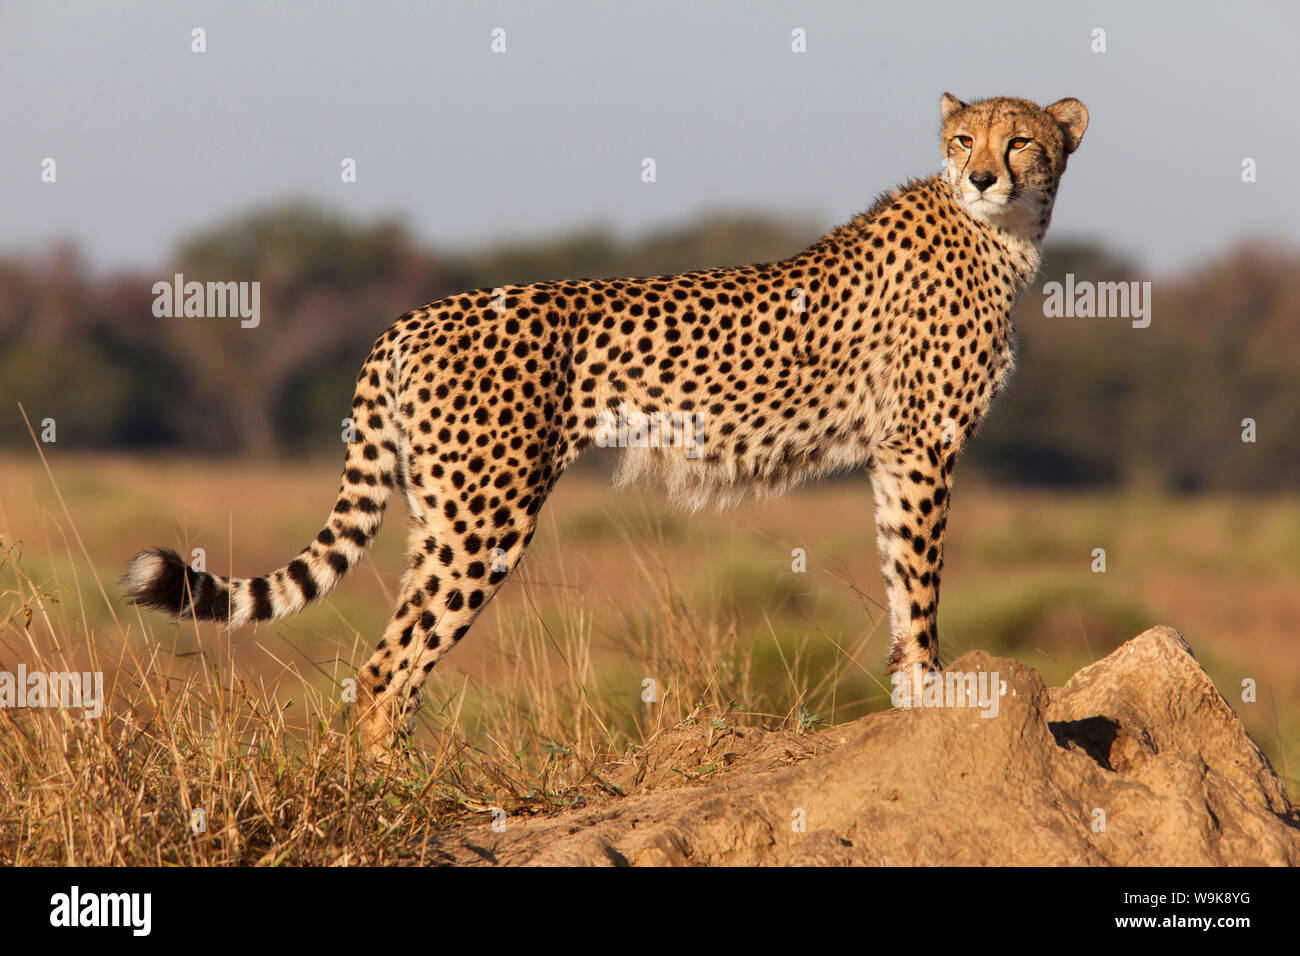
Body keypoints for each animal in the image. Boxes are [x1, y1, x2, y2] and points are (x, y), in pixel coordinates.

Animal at [123, 92, 1088, 758]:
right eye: (963, 140)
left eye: (1022, 140)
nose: (983, 175)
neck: (1000, 234)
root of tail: (415, 315)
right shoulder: (924, 446)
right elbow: (920, 579)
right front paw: (932, 689)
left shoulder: (898, 452)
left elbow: (896, 569)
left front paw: (909, 690)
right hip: (486, 517)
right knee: (388, 669)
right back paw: (392, 794)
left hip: (442, 515)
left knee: (383, 659)